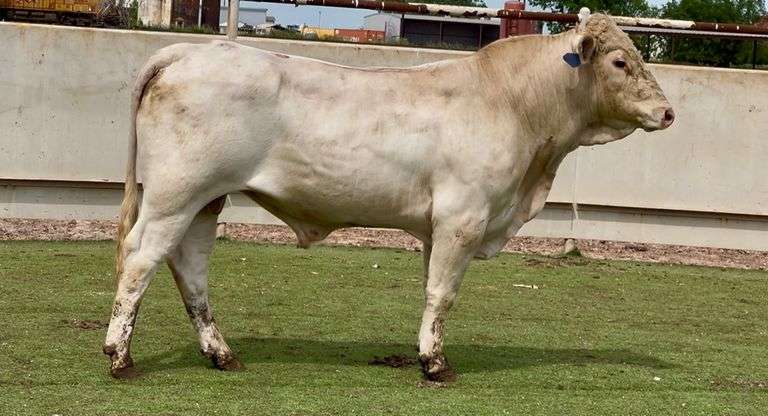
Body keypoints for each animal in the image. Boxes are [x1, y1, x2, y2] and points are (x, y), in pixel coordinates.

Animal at [103, 12, 674, 381]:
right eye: (620, 62)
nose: (668, 112)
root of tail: (189, 50)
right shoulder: (463, 218)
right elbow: (444, 292)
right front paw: (435, 364)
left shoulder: (439, 227)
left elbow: (431, 290)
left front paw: (426, 350)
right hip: (176, 195)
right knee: (140, 259)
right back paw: (119, 355)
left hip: (205, 201)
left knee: (189, 267)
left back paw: (220, 353)